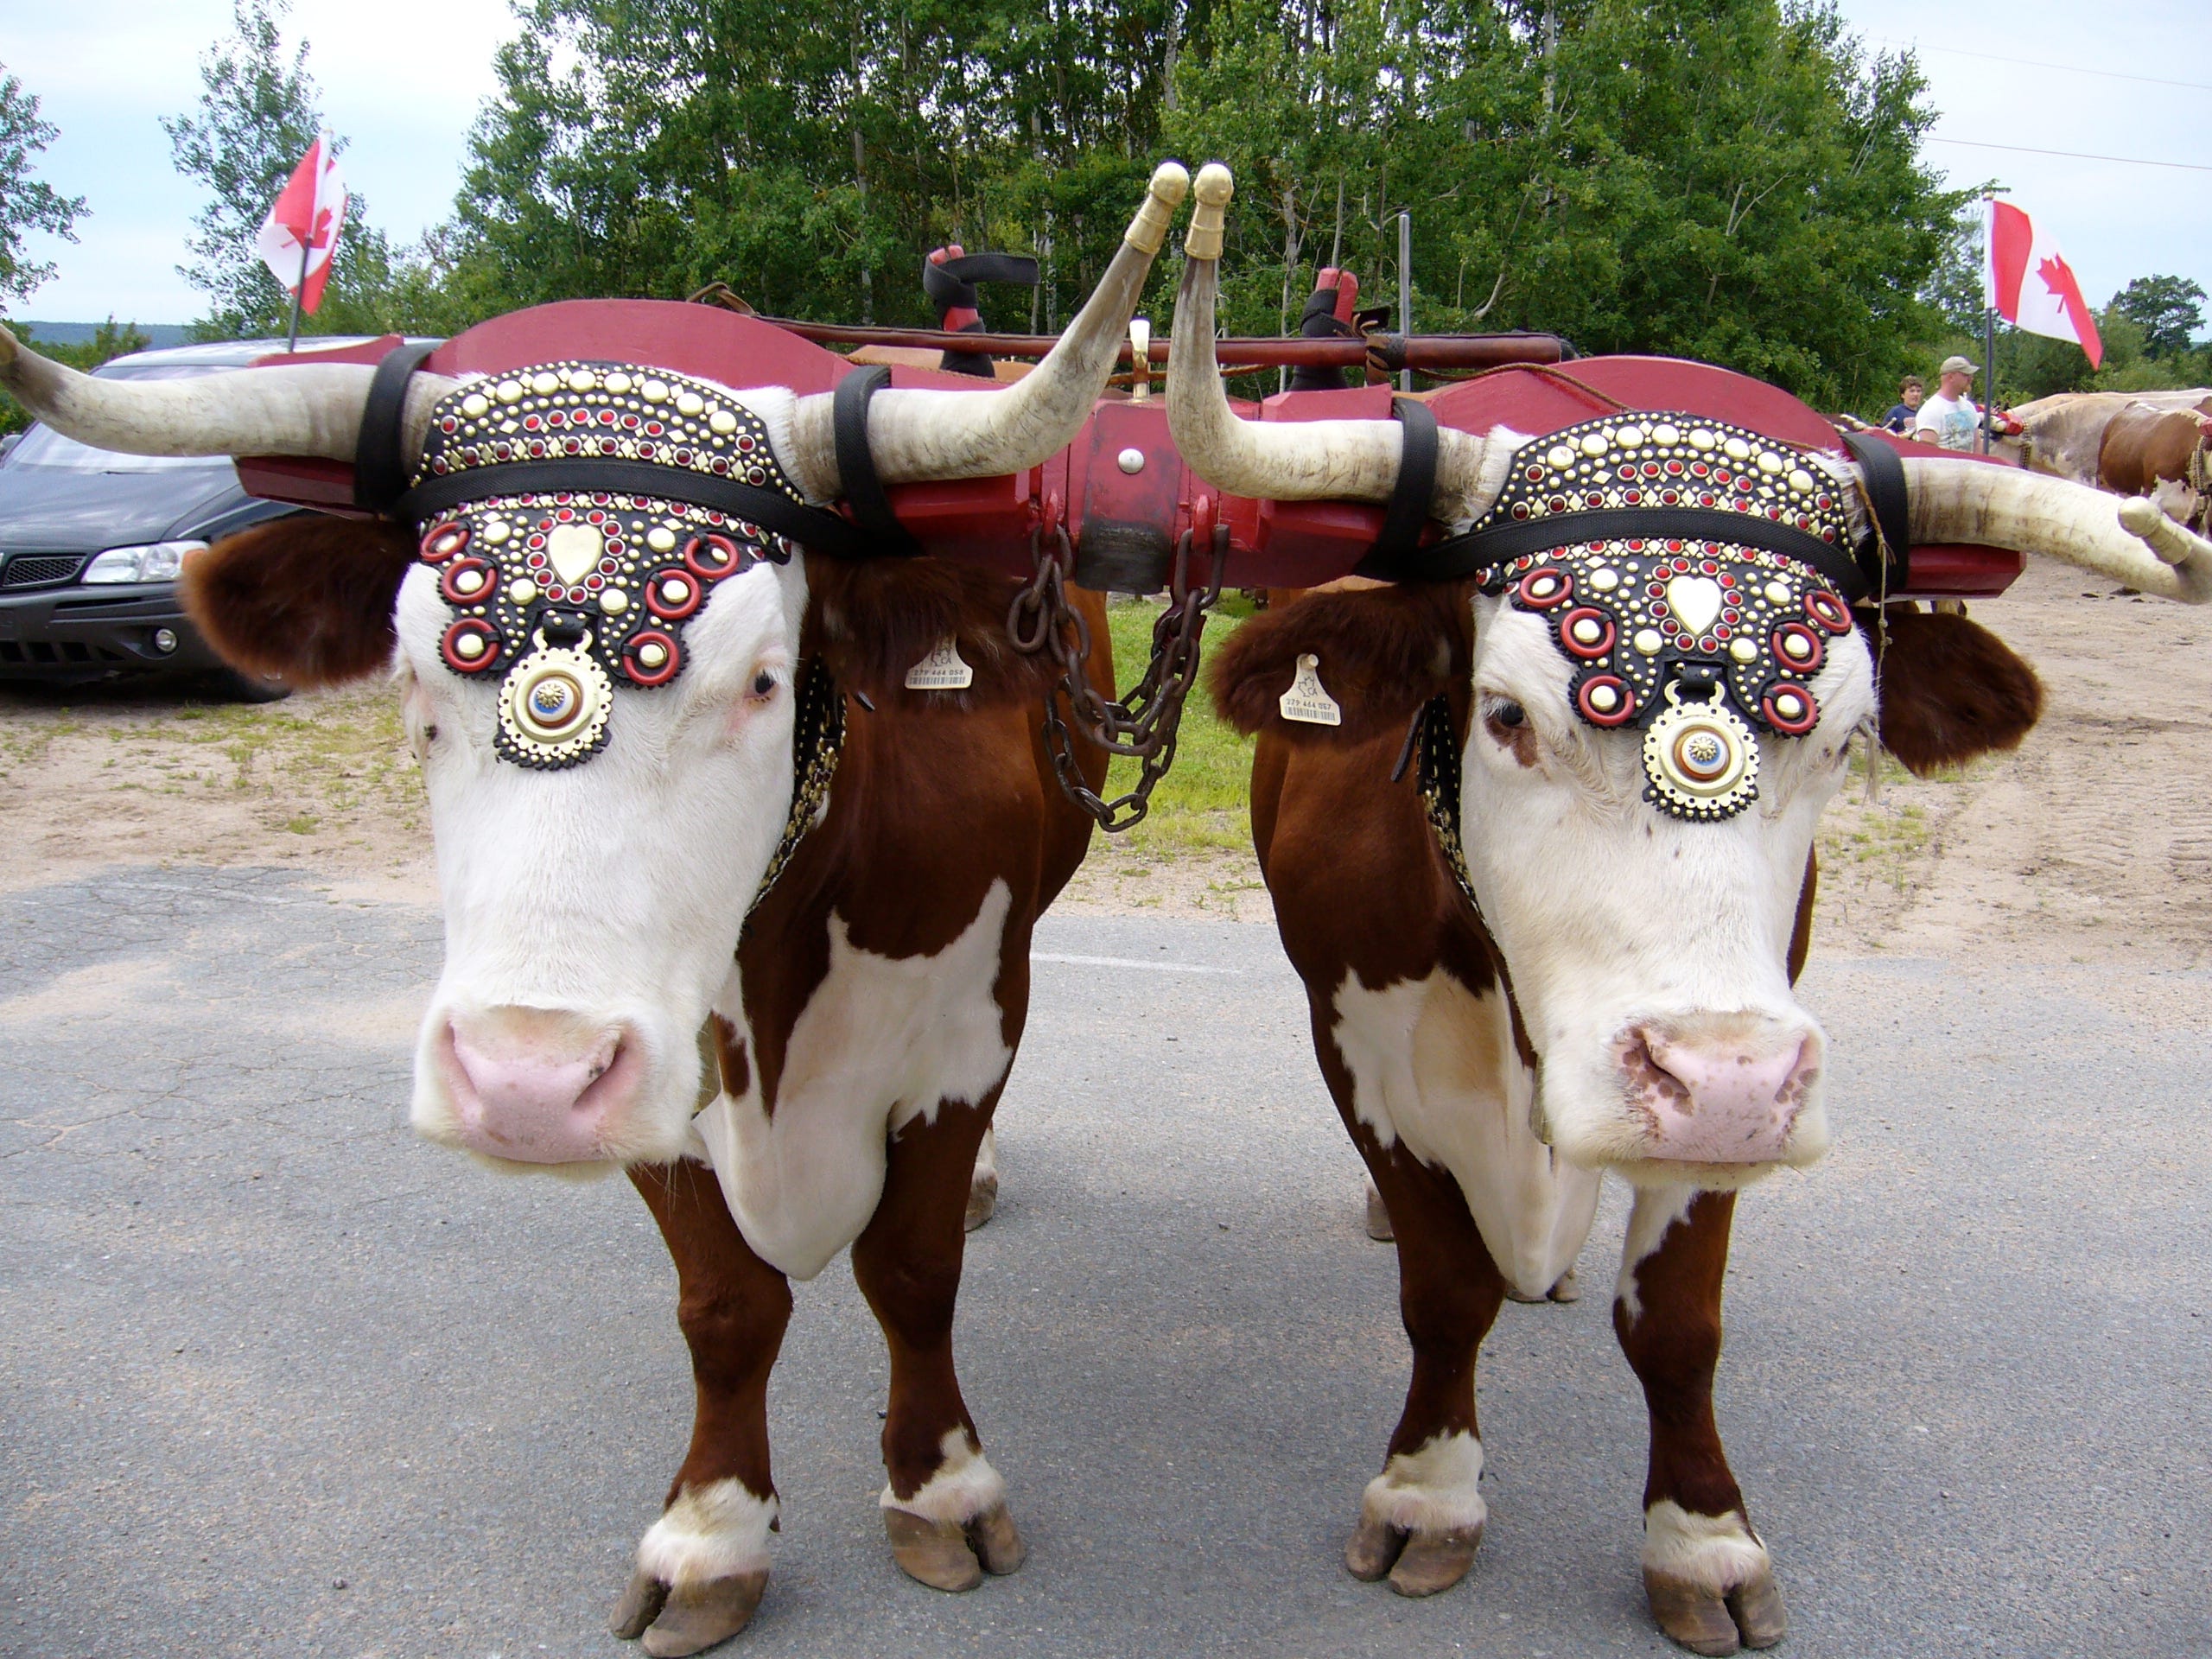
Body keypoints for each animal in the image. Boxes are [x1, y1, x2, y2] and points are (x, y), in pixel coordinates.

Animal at [0, 164, 1193, 1657]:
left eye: (761, 679)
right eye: (414, 675)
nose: (523, 1079)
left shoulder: (965, 1024)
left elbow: (911, 1269)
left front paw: (943, 1489)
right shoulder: (660, 1071)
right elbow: (727, 1304)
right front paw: (709, 1537)